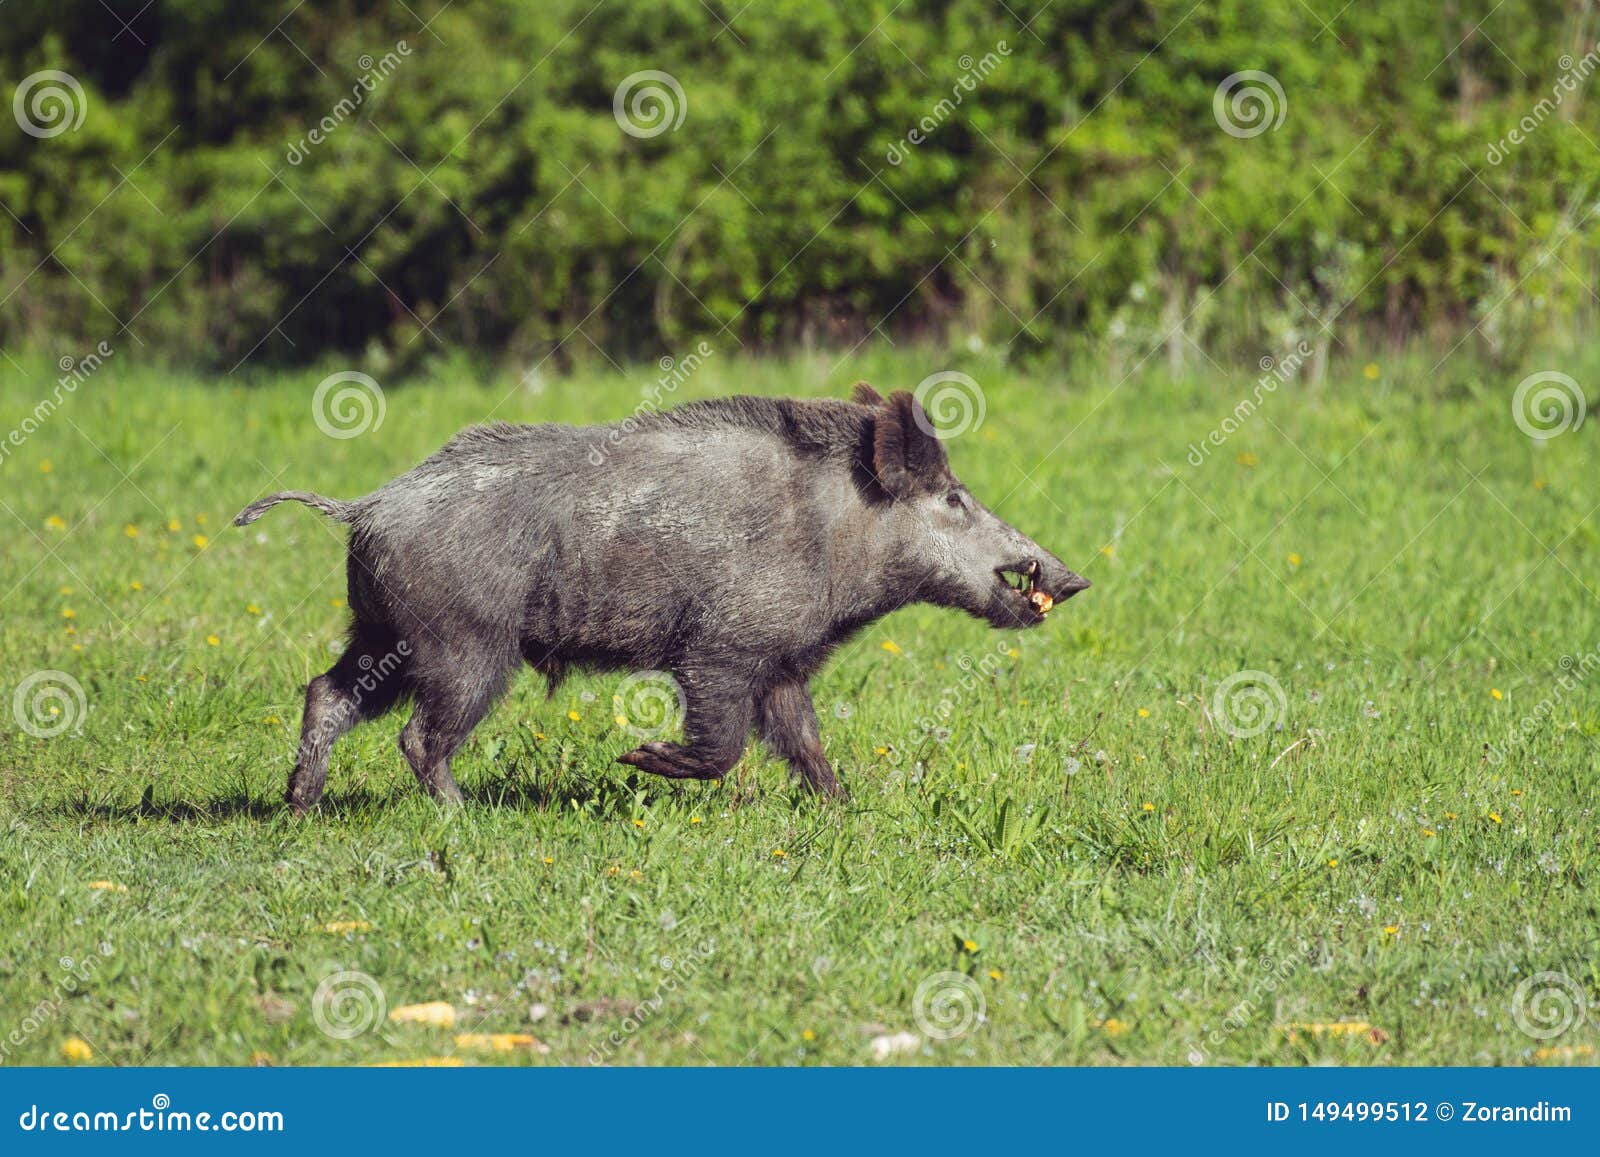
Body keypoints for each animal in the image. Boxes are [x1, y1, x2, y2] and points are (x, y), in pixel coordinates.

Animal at [235, 383, 1089, 812]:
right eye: (954, 499)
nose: (1072, 577)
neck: (835, 532)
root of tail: (367, 504)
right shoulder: (720, 647)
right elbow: (725, 742)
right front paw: (635, 758)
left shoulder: (783, 661)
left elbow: (804, 740)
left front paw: (844, 810)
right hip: (463, 643)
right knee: (418, 736)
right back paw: (465, 815)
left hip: (382, 634)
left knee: (325, 694)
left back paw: (300, 807)